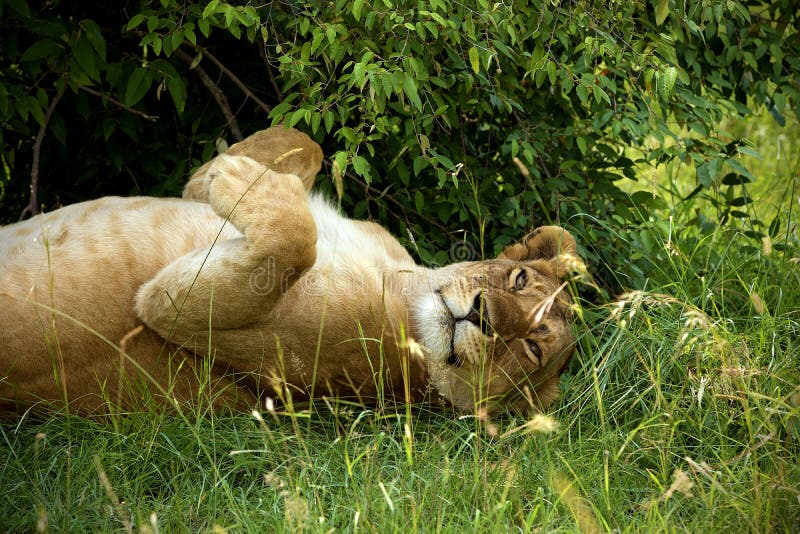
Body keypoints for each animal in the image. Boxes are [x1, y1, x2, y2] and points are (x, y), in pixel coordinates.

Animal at [0, 126, 583, 415]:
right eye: (519, 281)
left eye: (530, 350)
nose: (484, 316)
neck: (400, 281)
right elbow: (306, 143)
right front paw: (233, 165)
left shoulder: (175, 311)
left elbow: (295, 242)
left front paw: (238, 175)